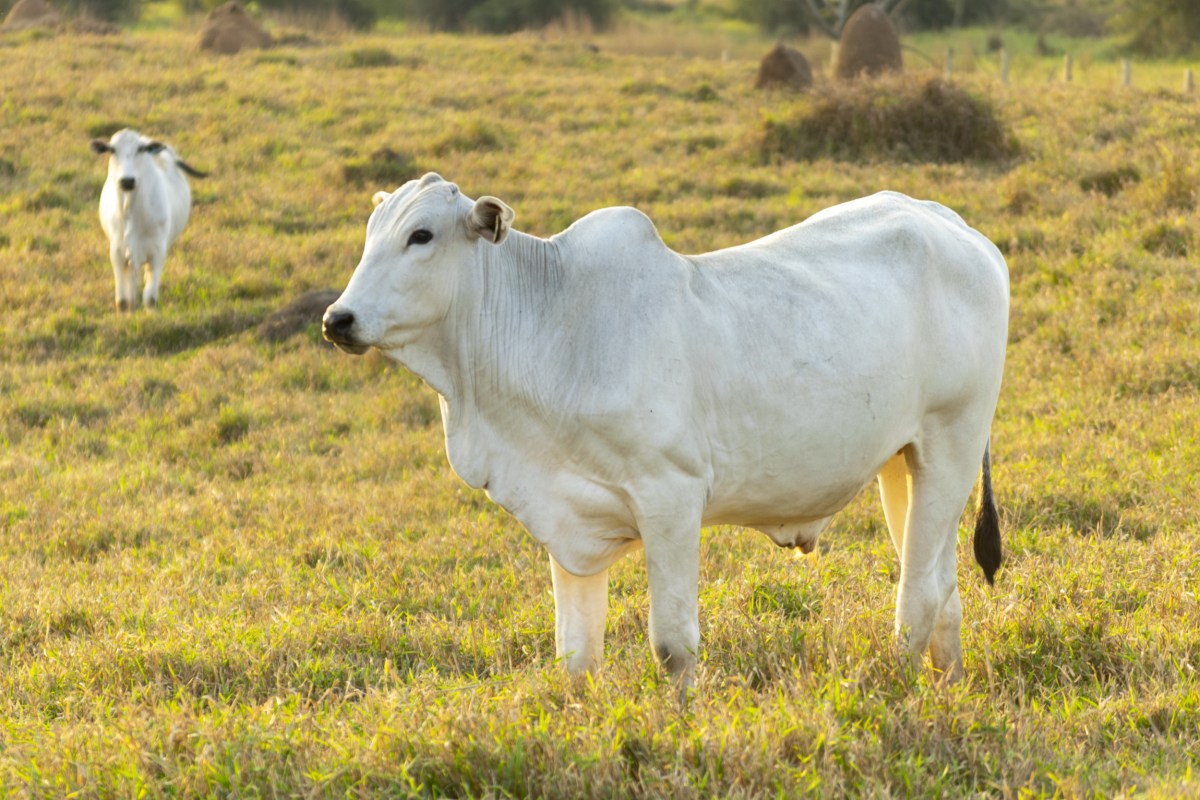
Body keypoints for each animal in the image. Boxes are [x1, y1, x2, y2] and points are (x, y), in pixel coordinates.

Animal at [90, 129, 207, 312]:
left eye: (141, 149)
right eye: (112, 150)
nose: (127, 180)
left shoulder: (158, 252)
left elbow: (150, 298)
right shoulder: (116, 252)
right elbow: (122, 301)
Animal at [323, 173, 1009, 695]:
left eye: (421, 235)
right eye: (371, 234)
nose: (337, 319)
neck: (553, 325)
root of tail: (953, 225)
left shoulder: (671, 498)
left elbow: (673, 646)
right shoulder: (565, 516)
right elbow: (576, 657)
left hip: (952, 443)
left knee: (917, 597)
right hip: (902, 463)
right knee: (943, 588)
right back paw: (950, 690)